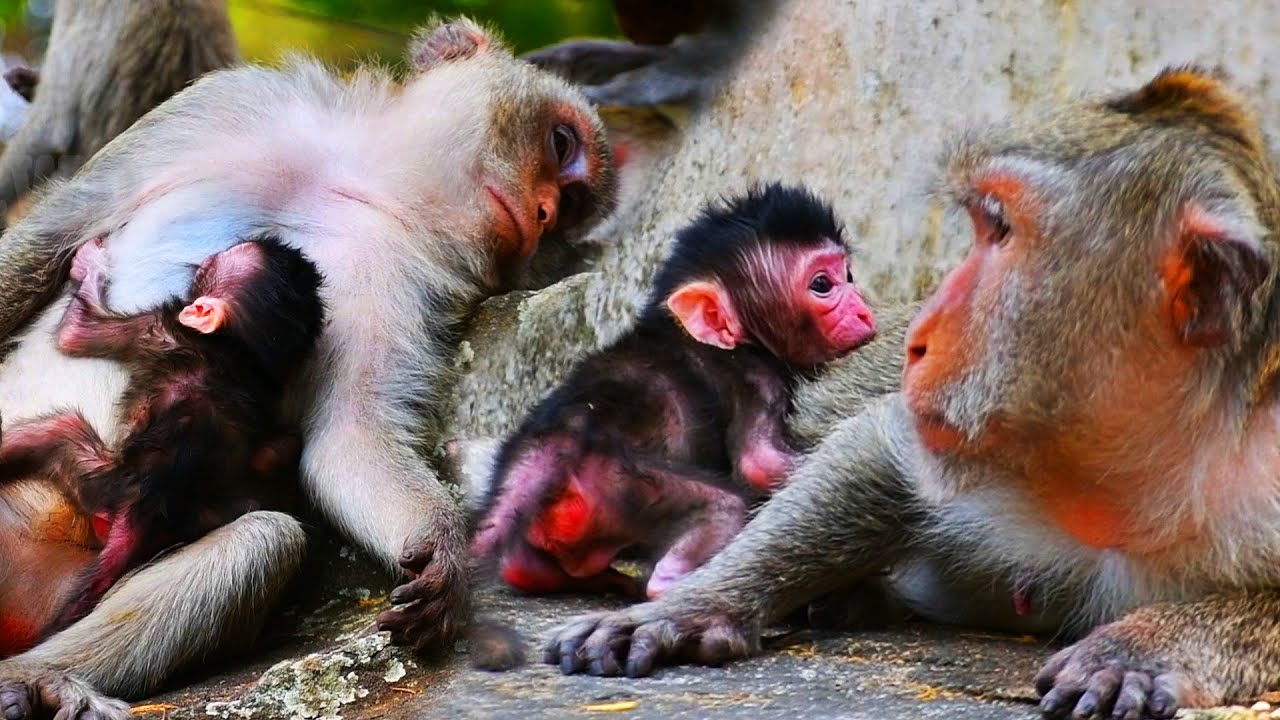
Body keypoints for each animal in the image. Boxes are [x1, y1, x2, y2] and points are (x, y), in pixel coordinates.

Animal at [0, 235, 324, 642]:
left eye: (207, 269)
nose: (201, 262)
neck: (237, 348)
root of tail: (145, 504)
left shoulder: (156, 326)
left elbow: (75, 334)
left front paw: (88, 263)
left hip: (100, 484)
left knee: (57, 431)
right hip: (200, 513)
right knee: (277, 454)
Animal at [471, 184, 878, 603]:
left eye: (848, 274)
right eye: (822, 285)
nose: (864, 312)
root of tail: (553, 442)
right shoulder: (756, 378)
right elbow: (760, 461)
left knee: (522, 566)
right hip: (615, 486)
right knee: (723, 507)